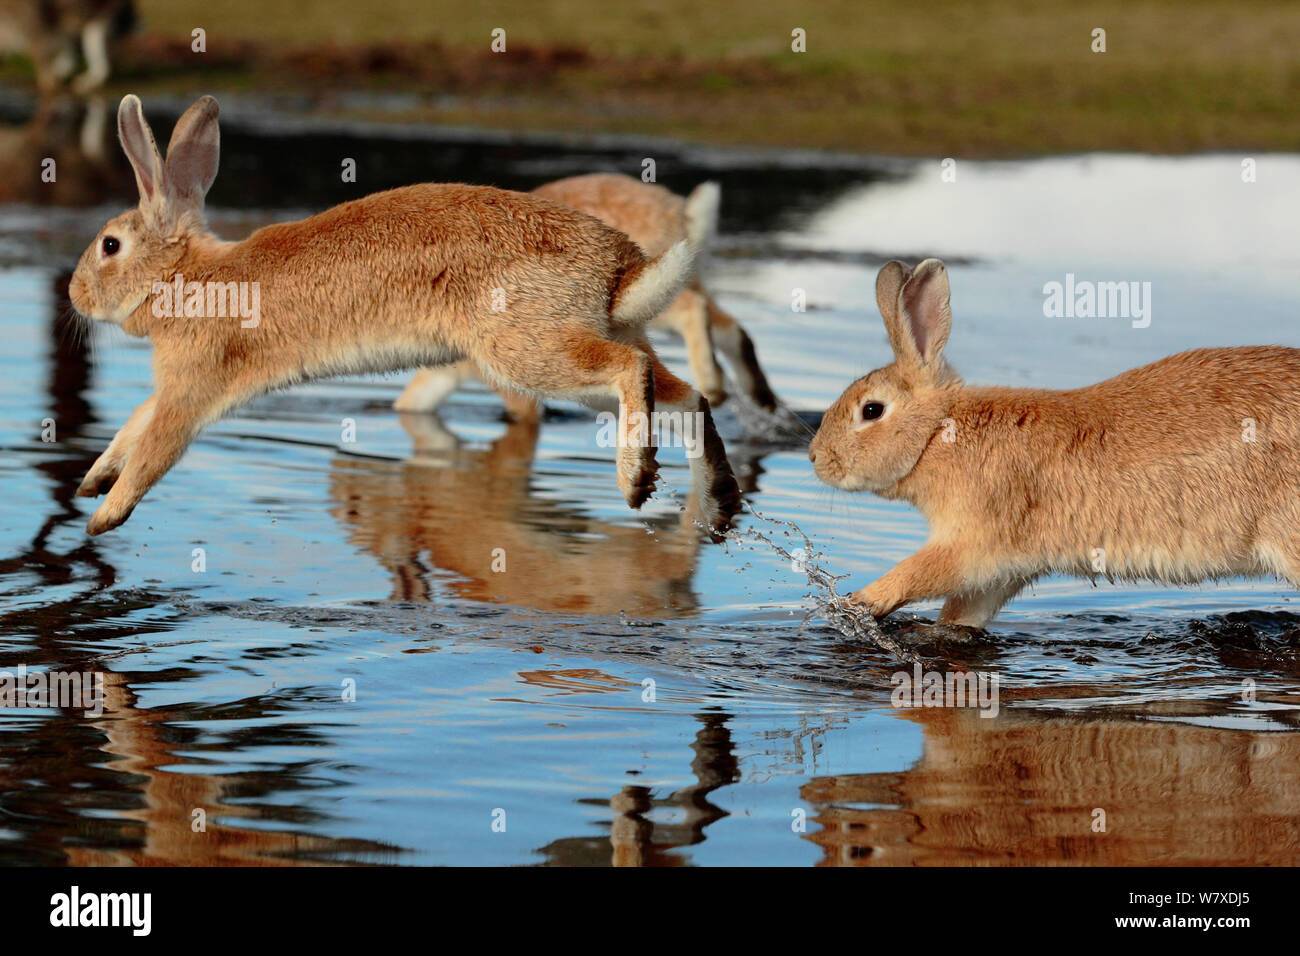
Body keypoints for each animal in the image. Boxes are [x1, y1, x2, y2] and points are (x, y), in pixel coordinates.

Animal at [808, 257, 1300, 628]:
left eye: (872, 410)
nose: (816, 458)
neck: (938, 433)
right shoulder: (1003, 569)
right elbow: (963, 614)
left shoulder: (974, 539)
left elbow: (921, 573)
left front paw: (858, 602)